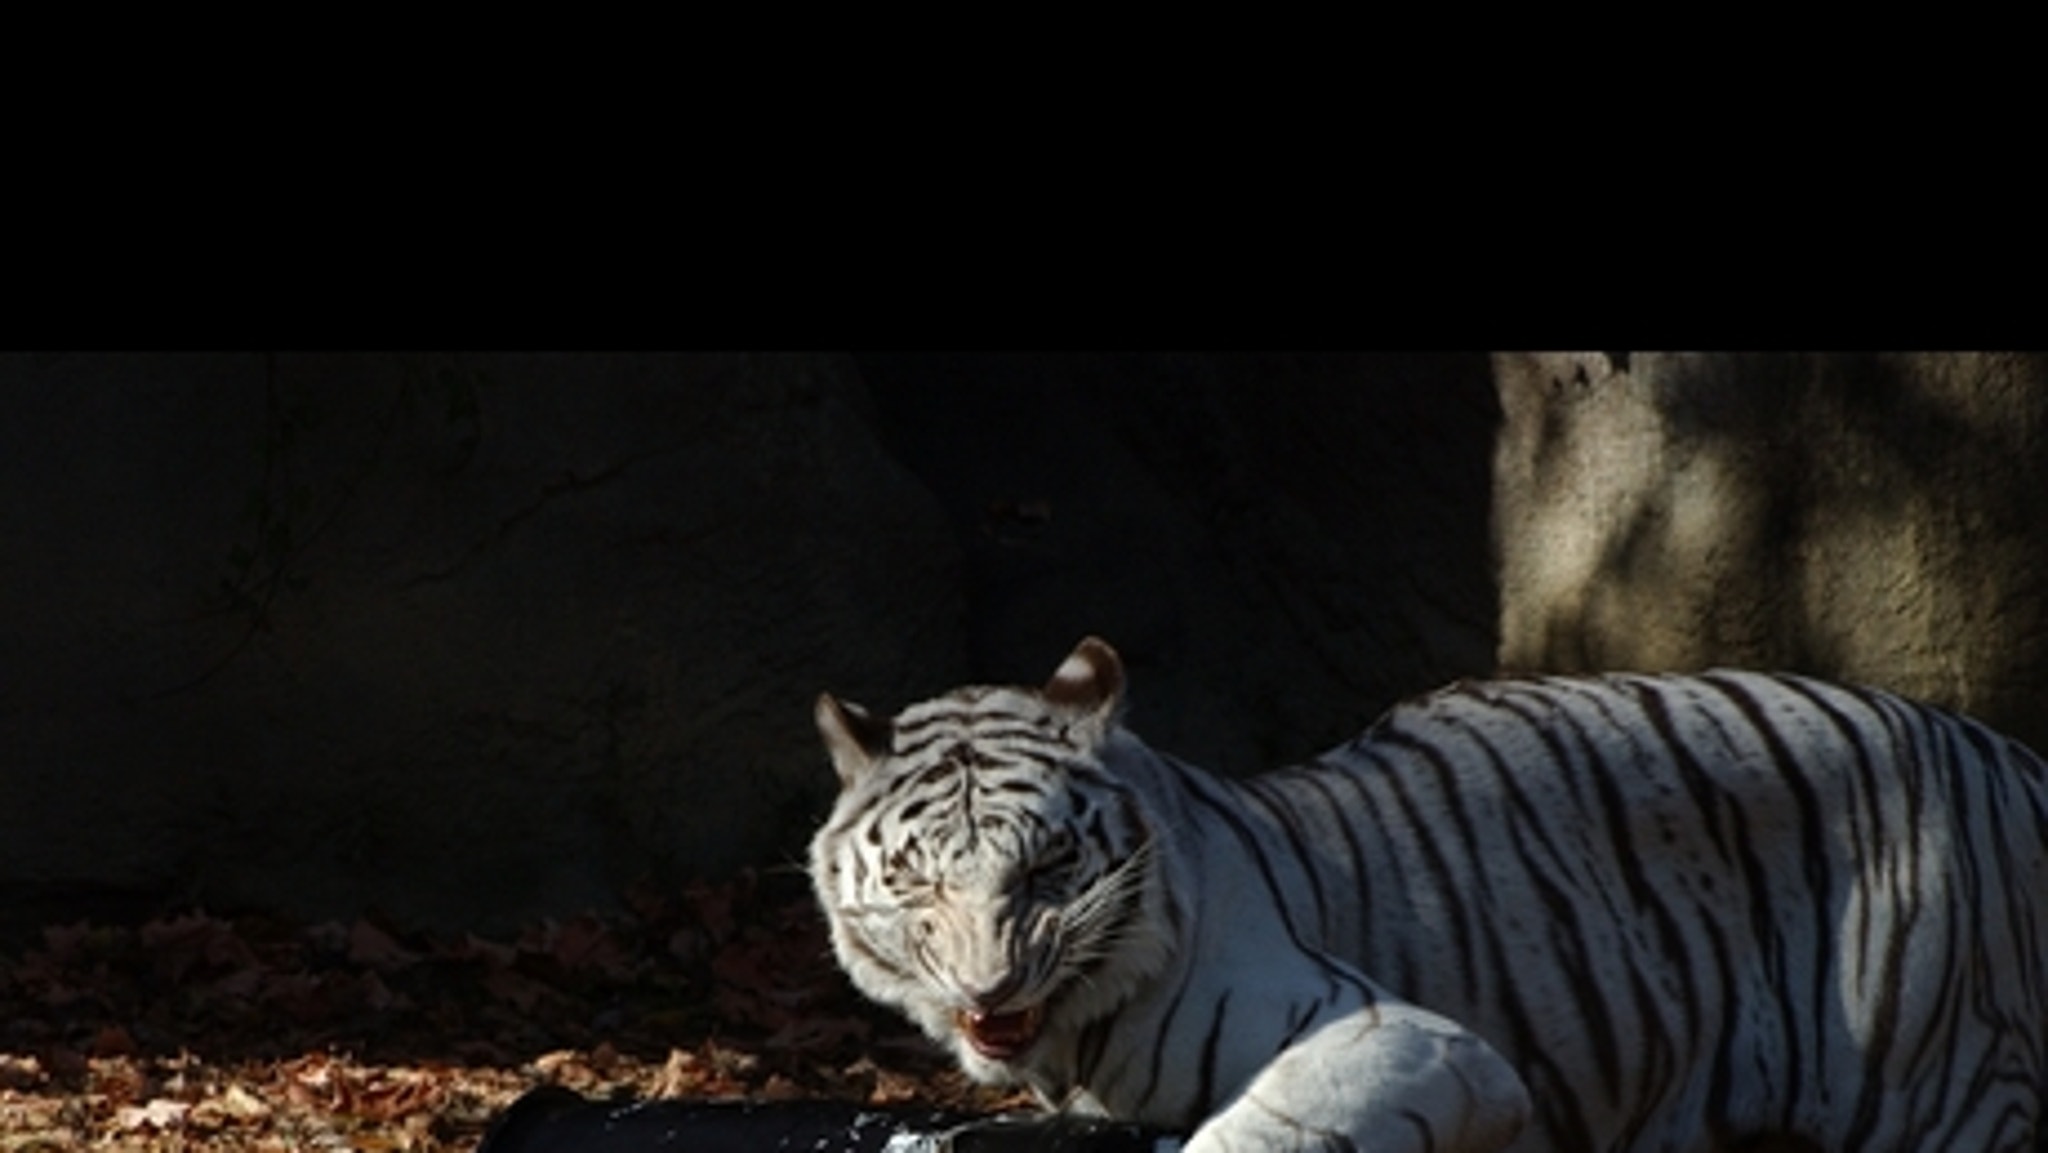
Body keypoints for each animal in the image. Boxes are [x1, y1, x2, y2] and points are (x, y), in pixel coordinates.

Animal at [807, 637, 2048, 1152]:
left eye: (1048, 868)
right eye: (918, 878)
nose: (988, 989)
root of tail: (1993, 747)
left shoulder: (1412, 1042)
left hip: (1945, 1077)